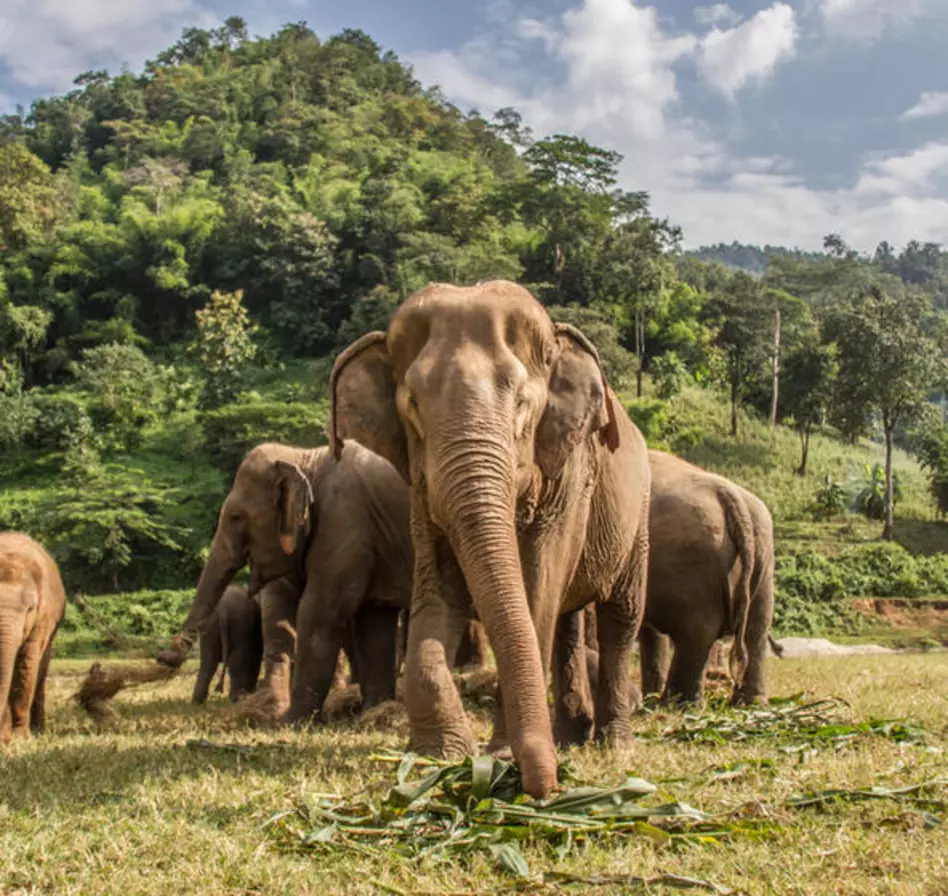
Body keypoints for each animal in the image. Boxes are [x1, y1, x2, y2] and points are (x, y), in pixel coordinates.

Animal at [1, 532, 66, 742]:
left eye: (30, 609)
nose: (3, 738)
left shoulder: (43, 616)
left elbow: (26, 663)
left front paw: (20, 737)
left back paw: (38, 731)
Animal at [330, 279, 651, 798]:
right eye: (413, 405)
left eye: (522, 403)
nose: (545, 786)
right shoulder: (421, 491)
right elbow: (438, 590)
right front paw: (439, 756)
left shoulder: (569, 474)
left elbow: (538, 587)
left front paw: (498, 756)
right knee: (568, 620)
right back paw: (570, 737)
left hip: (638, 516)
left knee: (620, 616)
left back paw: (613, 744)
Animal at [637, 450, 776, 706]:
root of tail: (730, 497)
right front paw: (647, 696)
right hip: (764, 557)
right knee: (757, 627)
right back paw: (749, 702)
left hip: (688, 563)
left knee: (696, 632)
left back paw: (676, 704)